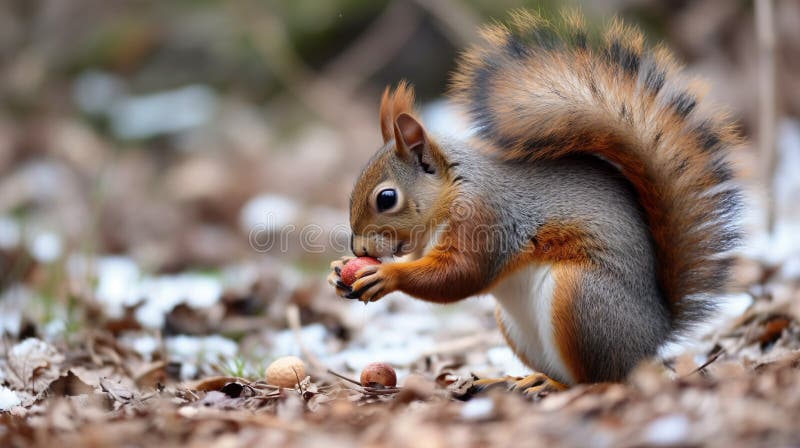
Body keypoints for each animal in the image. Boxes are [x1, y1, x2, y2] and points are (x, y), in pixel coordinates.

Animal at [328, 10, 741, 391]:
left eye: (386, 198)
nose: (358, 248)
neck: (454, 191)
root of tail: (653, 337)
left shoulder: (486, 216)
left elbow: (460, 275)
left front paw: (387, 275)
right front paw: (339, 269)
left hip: (581, 301)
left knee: (599, 379)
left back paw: (552, 385)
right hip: (517, 326)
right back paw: (516, 378)